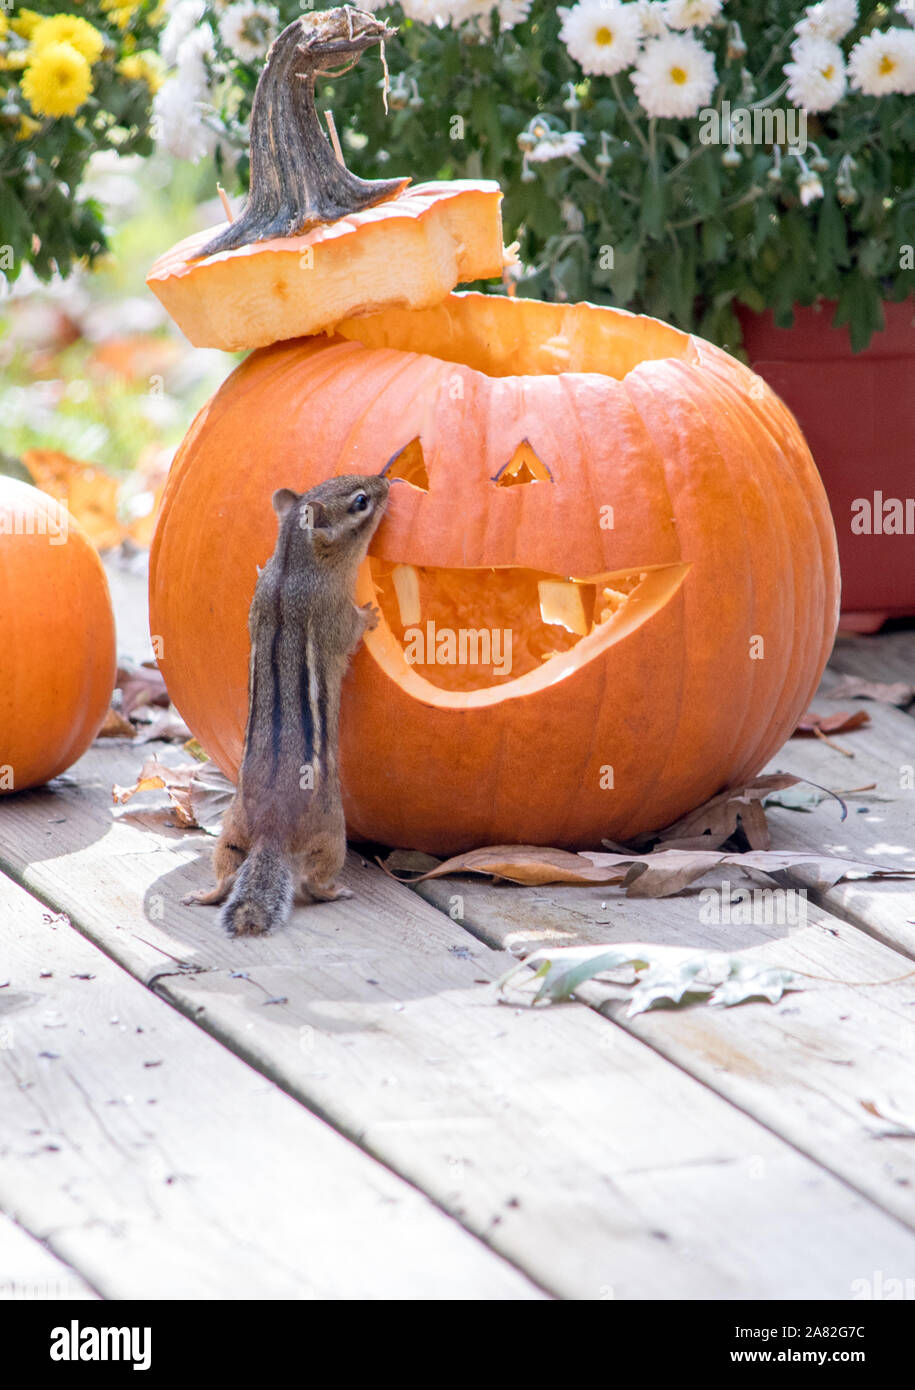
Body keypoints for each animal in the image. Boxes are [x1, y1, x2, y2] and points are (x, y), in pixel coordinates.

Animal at [183, 473, 390, 936]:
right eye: (361, 501)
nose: (387, 481)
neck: (293, 563)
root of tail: (270, 832)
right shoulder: (334, 613)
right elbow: (352, 630)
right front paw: (371, 614)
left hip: (231, 831)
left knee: (226, 874)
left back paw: (204, 893)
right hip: (333, 833)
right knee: (313, 881)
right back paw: (335, 891)